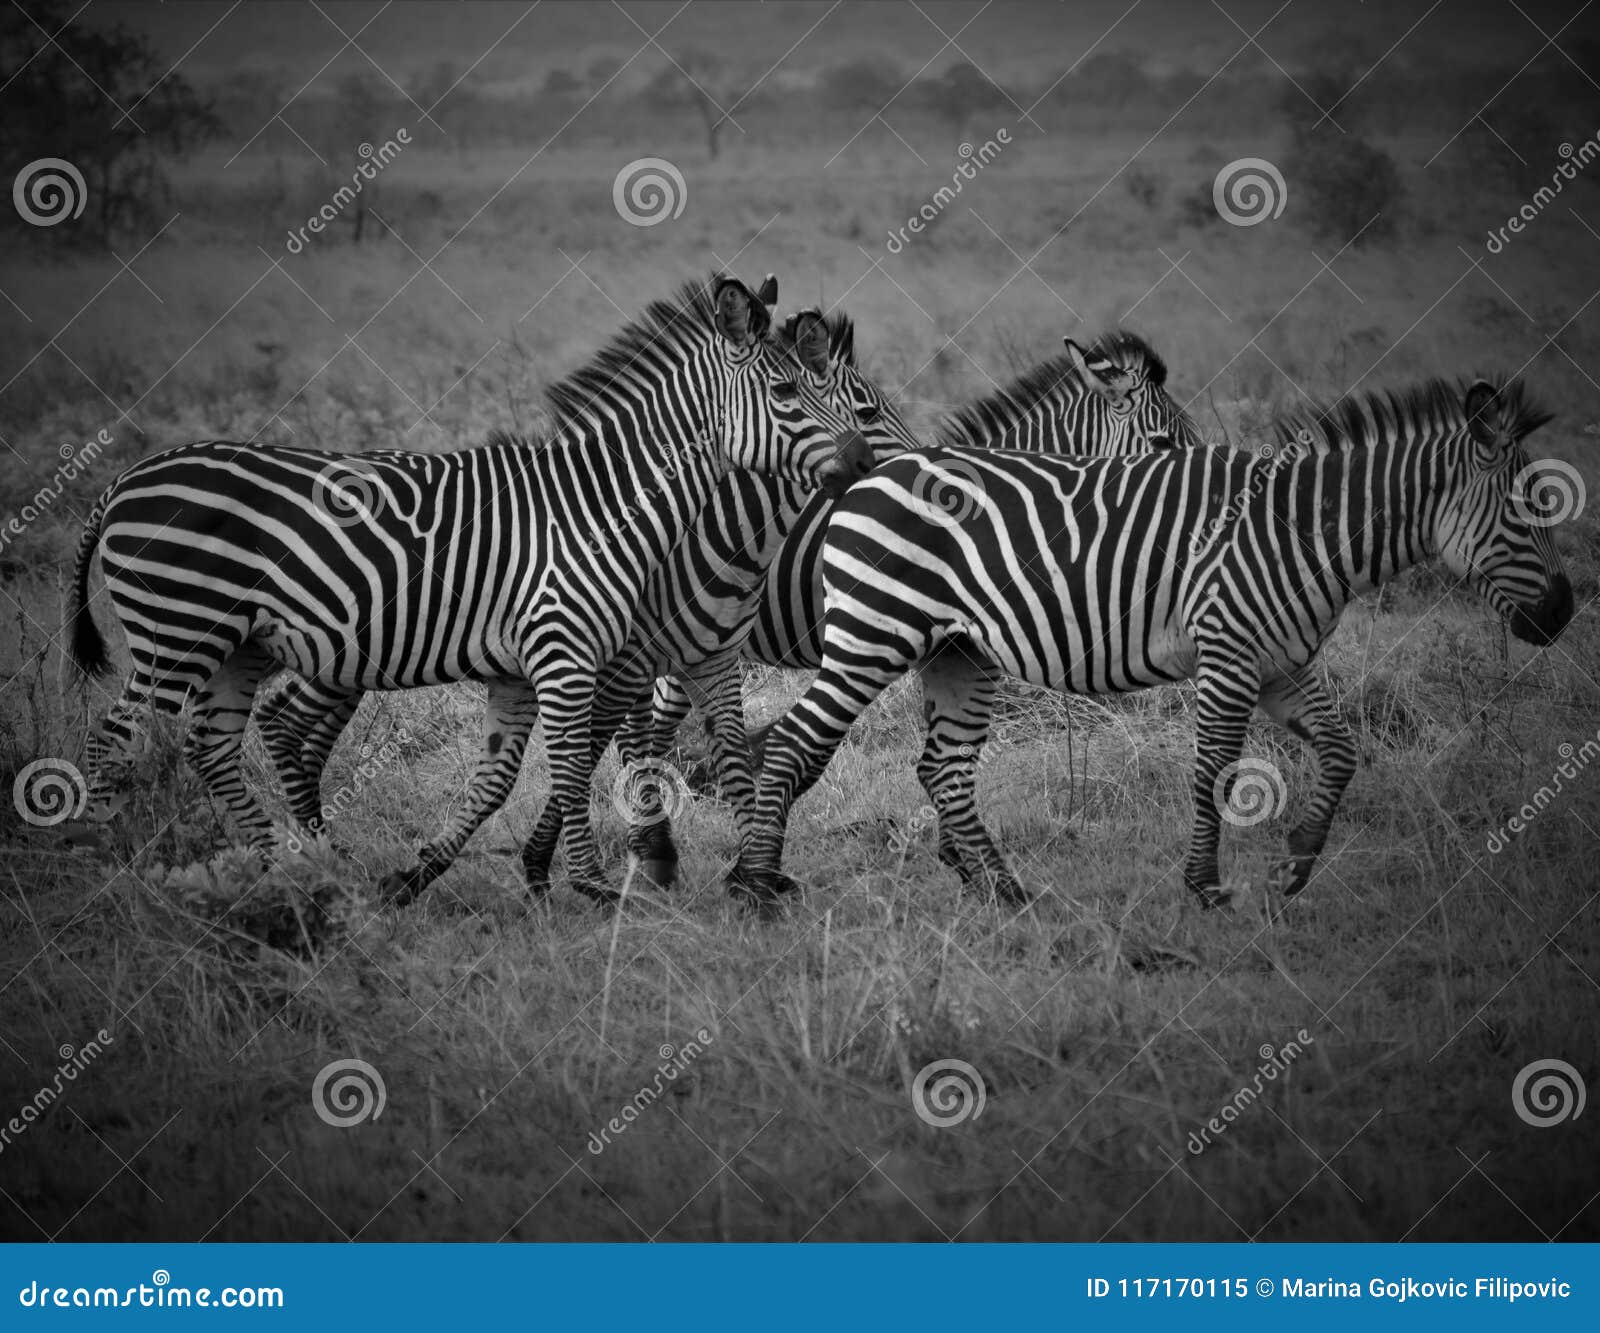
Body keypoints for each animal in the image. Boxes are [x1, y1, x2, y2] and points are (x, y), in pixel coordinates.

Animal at [65, 273, 874, 907]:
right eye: (786, 391)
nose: (865, 462)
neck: (606, 502)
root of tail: (122, 480)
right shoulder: (563, 651)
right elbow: (572, 766)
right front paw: (595, 888)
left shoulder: (523, 668)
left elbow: (508, 776)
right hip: (177, 632)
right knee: (115, 742)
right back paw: (98, 870)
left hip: (237, 646)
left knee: (211, 746)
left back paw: (284, 872)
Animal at [730, 376, 1574, 910]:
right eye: (1529, 510)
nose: (1563, 614)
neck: (1304, 533)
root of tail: (866, 477)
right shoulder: (1229, 653)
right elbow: (1214, 770)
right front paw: (1204, 885)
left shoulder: (1283, 662)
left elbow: (1341, 750)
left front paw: (1296, 863)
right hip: (873, 633)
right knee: (794, 744)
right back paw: (757, 884)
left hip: (955, 652)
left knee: (943, 767)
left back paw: (1004, 890)